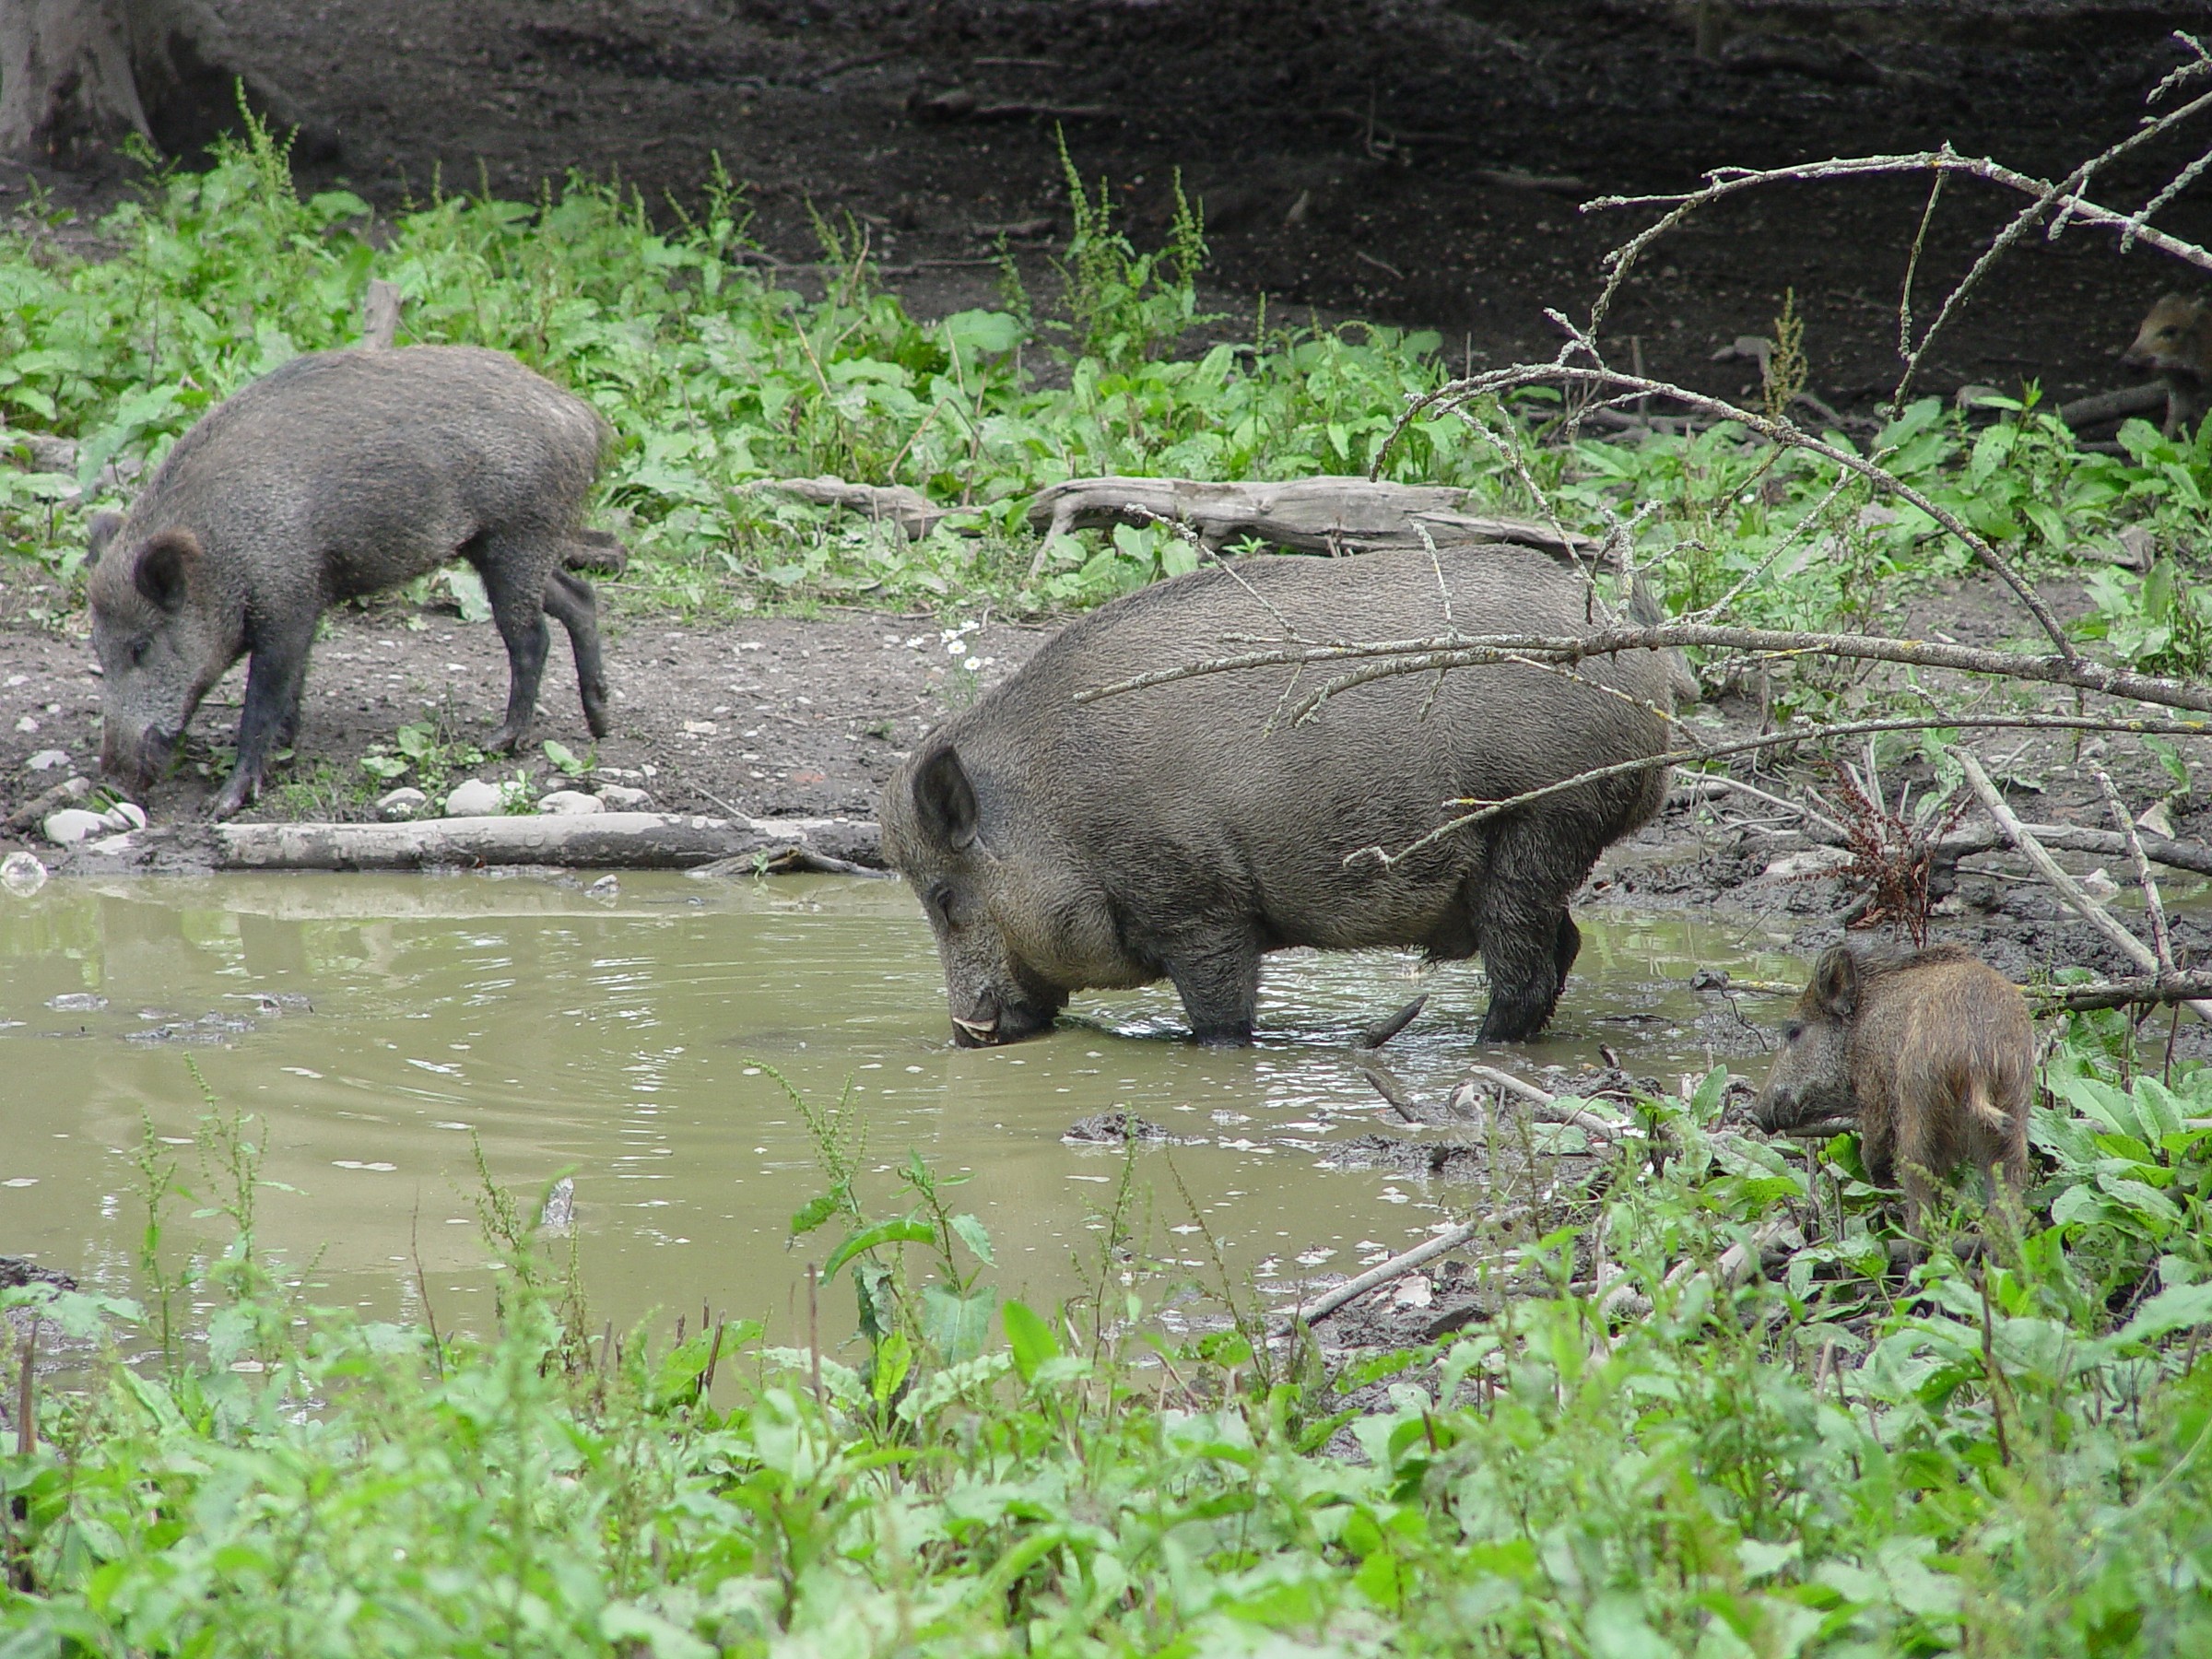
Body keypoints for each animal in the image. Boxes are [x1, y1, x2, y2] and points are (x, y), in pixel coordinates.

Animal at [84, 345, 624, 818]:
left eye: (140, 648)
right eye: (98, 651)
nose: (111, 783)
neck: (222, 554)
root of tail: (584, 419)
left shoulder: (288, 604)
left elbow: (263, 700)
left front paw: (223, 804)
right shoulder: (301, 605)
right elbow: (291, 692)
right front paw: (285, 751)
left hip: (517, 534)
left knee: (531, 637)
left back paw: (502, 740)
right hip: (500, 546)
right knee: (579, 597)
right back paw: (599, 724)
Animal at [880, 544, 1695, 1048]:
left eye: (945, 900)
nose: (967, 1033)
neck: (1062, 811)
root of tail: (1648, 678)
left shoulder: (1201, 904)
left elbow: (1221, 1019)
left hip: (1544, 821)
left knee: (1527, 967)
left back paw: (1473, 1045)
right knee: (1565, 945)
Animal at [1756, 942, 2034, 1232]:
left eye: (1793, 1031)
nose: (1755, 1115)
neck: (1858, 1028)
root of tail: (1975, 1058)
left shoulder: (1872, 1084)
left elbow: (1873, 1149)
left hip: (1919, 1114)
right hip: (2013, 1106)